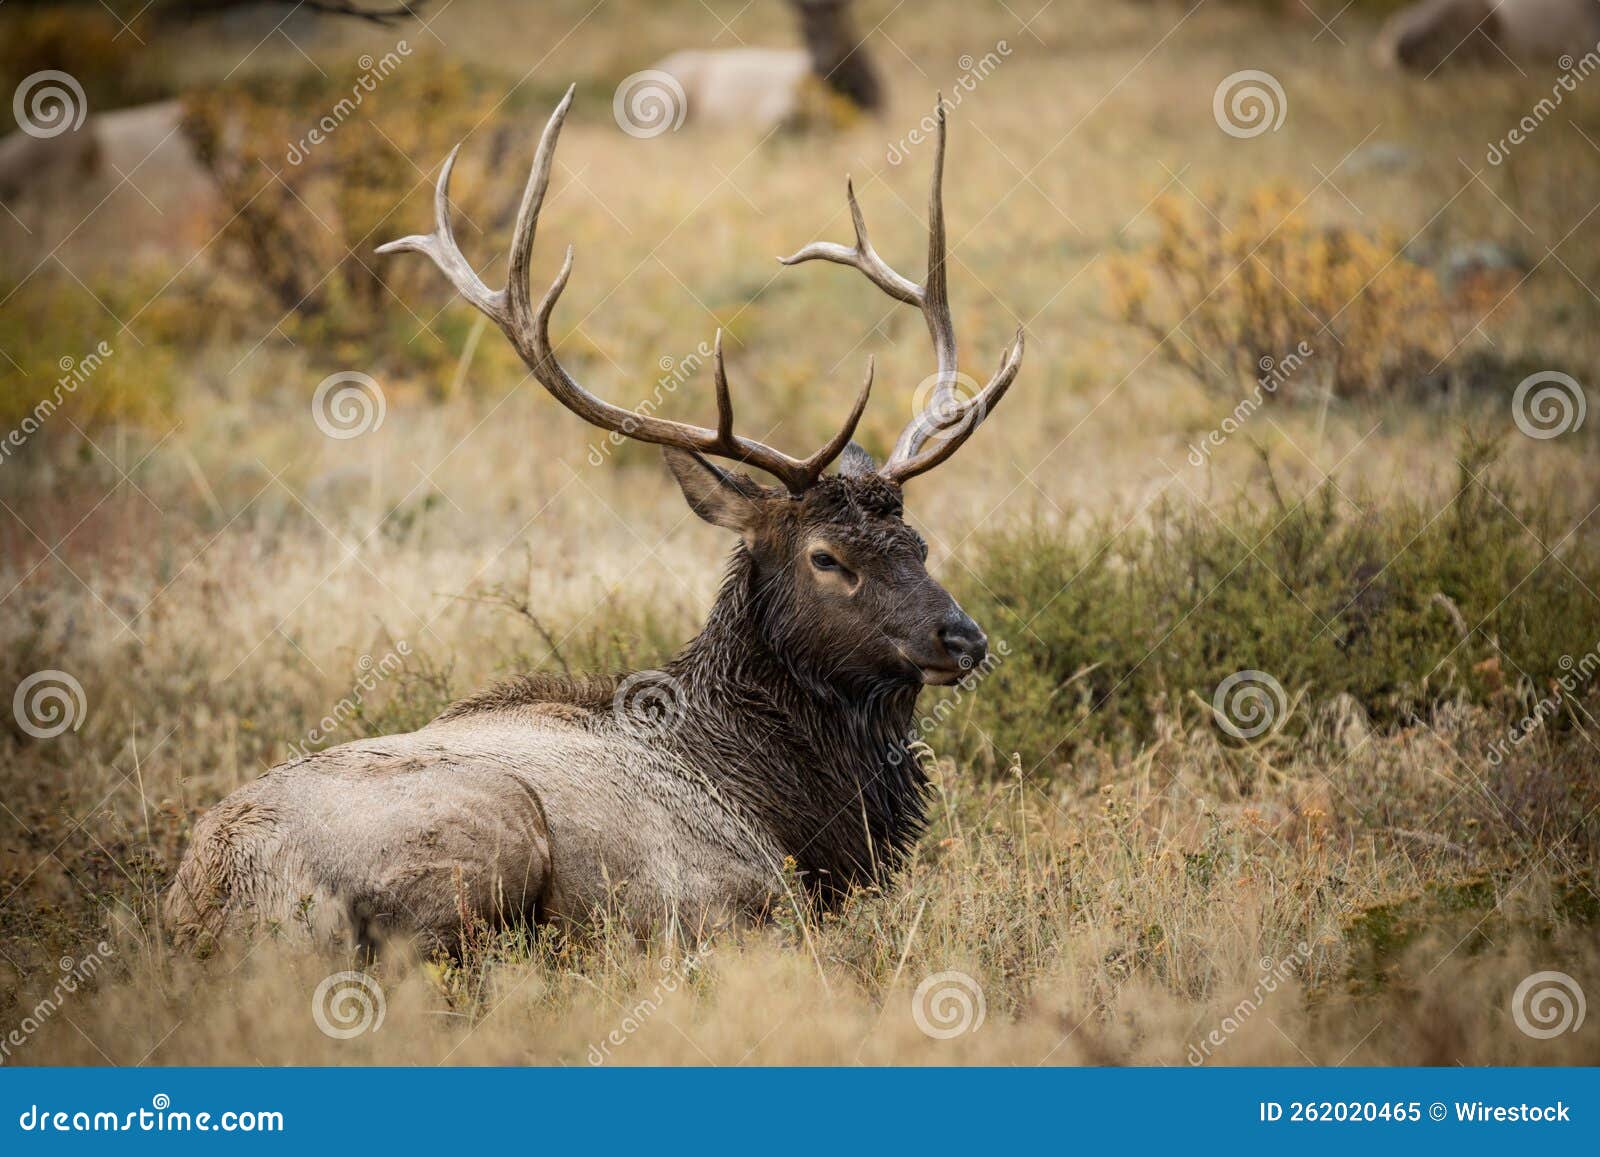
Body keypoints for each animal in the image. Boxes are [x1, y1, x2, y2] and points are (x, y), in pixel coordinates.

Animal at [163, 86, 1025, 954]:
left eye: (918, 542)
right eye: (826, 557)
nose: (965, 637)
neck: (787, 804)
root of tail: (215, 889)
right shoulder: (715, 896)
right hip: (490, 825)